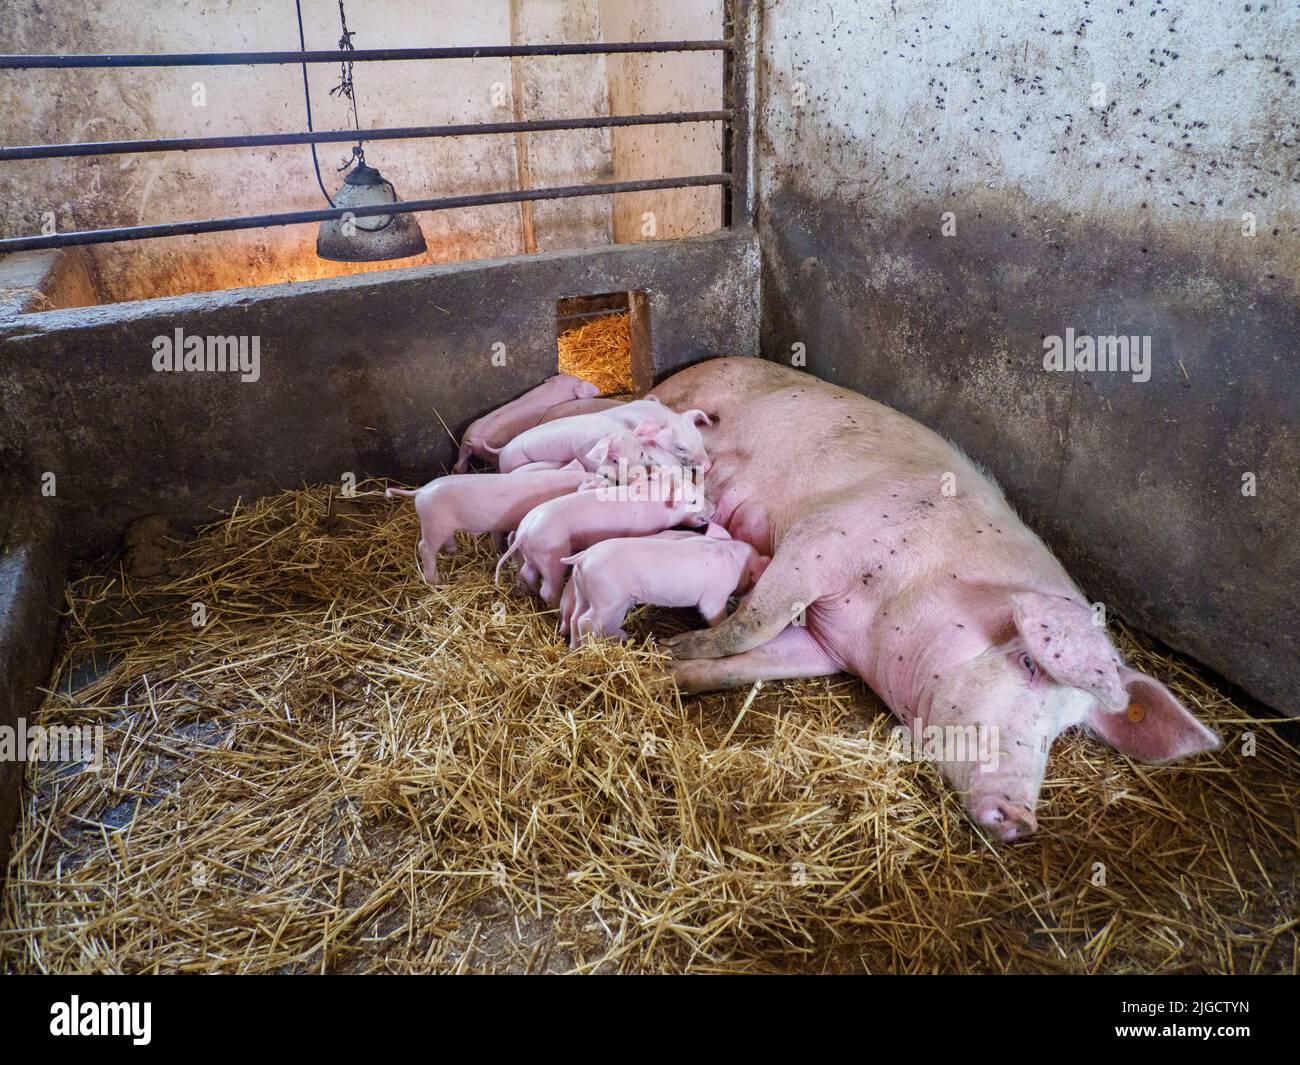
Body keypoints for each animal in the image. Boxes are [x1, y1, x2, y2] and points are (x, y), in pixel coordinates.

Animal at [385, 462, 603, 583]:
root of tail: (421, 491)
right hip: (433, 526)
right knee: (424, 548)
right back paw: (435, 581)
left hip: (443, 526)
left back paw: (455, 552)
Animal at [494, 479, 715, 608]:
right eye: (693, 501)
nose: (714, 510)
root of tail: (524, 531)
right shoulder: (641, 530)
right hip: (550, 556)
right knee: (547, 589)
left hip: (532, 556)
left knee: (527, 574)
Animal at [561, 535, 770, 647]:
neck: (735, 561)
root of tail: (583, 557)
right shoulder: (714, 597)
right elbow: (714, 614)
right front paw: (720, 624)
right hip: (606, 598)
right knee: (585, 621)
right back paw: (590, 647)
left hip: (584, 593)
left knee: (574, 617)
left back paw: (575, 647)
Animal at [653, 358, 1221, 842]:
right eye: (1027, 663)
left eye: (1067, 726)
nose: (1020, 816)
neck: (878, 635)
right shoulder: (821, 541)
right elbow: (752, 624)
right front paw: (678, 646)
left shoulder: (829, 647)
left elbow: (752, 664)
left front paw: (673, 673)